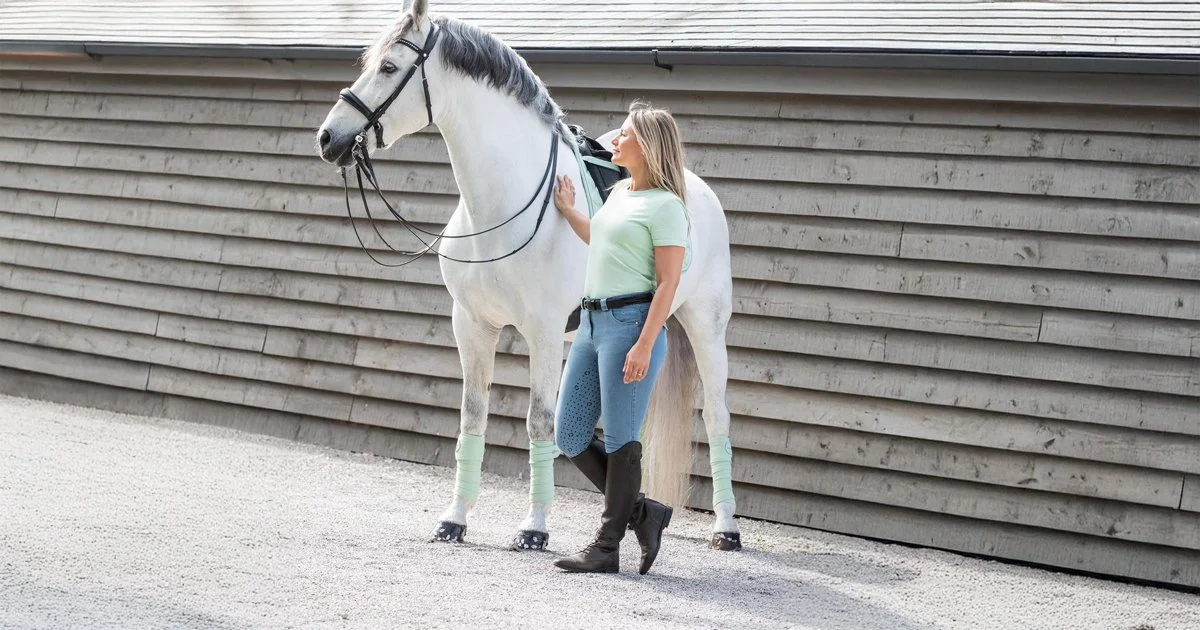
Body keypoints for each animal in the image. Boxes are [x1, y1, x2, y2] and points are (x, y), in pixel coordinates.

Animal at [316, 0, 742, 552]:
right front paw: (454, 520)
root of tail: (694, 187)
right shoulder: (472, 326)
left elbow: (539, 422)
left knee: (716, 418)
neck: (504, 204)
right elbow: (473, 418)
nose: (329, 138)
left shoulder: (542, 332)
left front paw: (534, 528)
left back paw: (726, 528)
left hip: (705, 327)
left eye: (389, 67)